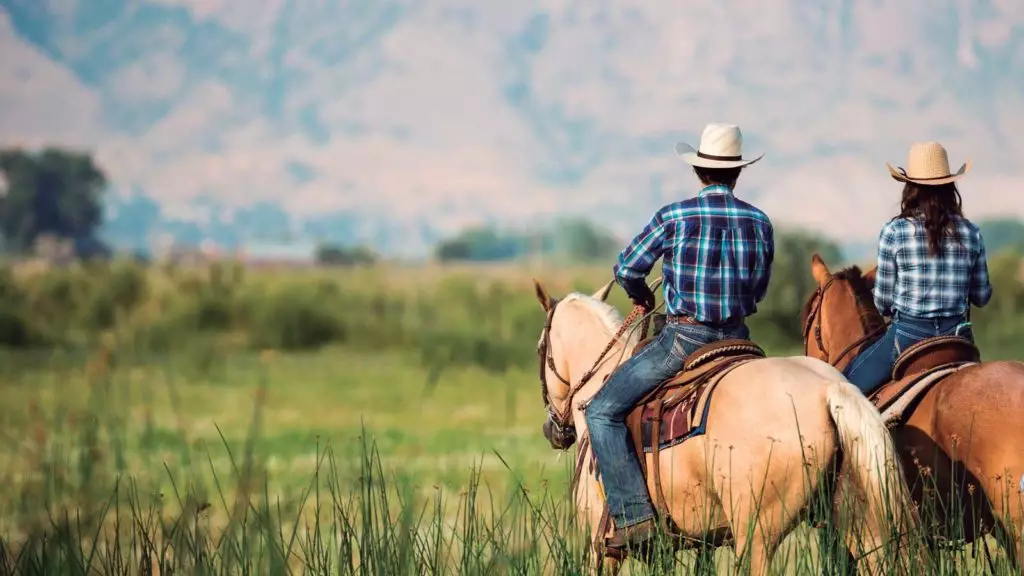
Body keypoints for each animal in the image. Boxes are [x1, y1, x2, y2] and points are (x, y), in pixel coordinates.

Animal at [536, 278, 921, 573]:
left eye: (541, 348)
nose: (552, 430)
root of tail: (829, 390)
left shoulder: (599, 547)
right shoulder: (697, 543)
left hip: (757, 537)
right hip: (863, 524)